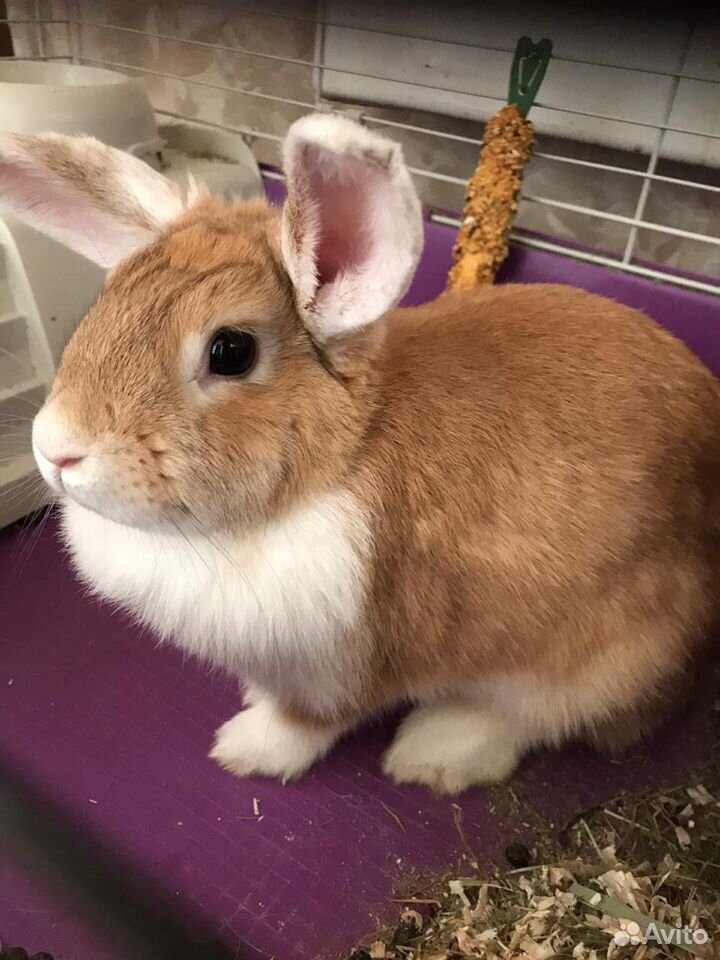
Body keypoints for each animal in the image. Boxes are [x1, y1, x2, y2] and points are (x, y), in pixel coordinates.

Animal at [3, 114, 719, 794]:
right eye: (103, 303)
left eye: (231, 351)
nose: (55, 449)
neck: (335, 466)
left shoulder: (338, 667)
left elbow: (307, 720)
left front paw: (243, 750)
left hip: (601, 654)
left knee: (537, 714)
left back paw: (432, 754)